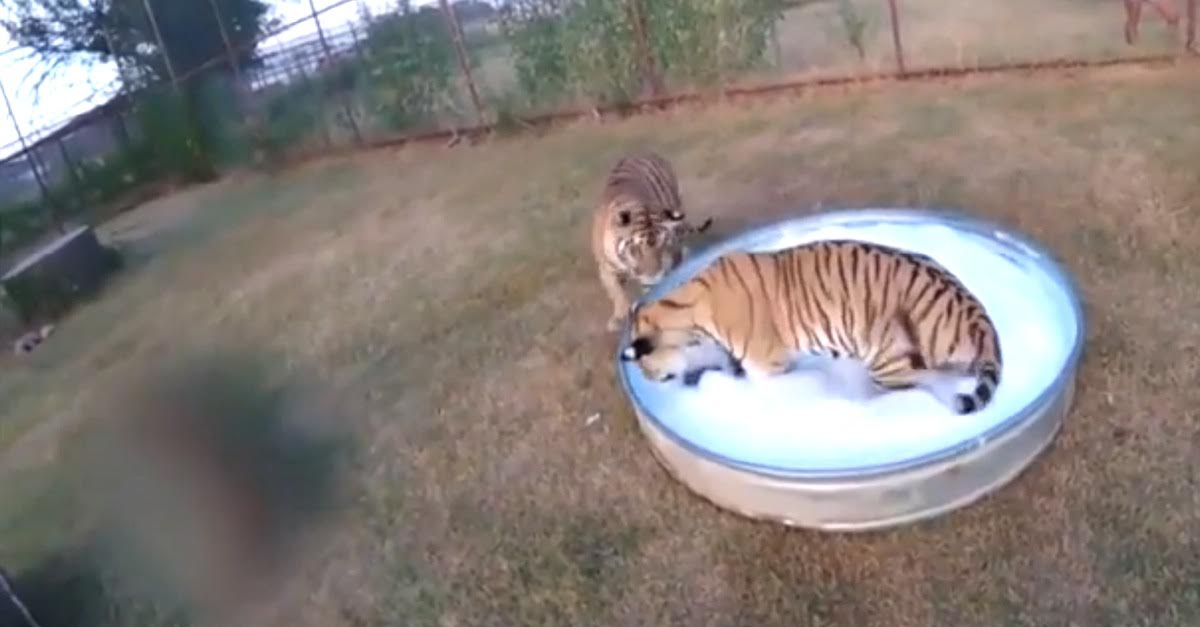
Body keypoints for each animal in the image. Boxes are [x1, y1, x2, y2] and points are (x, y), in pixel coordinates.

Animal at [592, 151, 713, 332]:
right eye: (635, 249)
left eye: (661, 247)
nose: (654, 277)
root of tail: (641, 153)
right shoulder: (606, 268)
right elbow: (616, 293)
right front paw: (619, 317)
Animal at [620, 239, 1003, 415]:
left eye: (648, 369)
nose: (651, 382)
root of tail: (982, 323)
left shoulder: (768, 367)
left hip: (886, 357)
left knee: (915, 381)